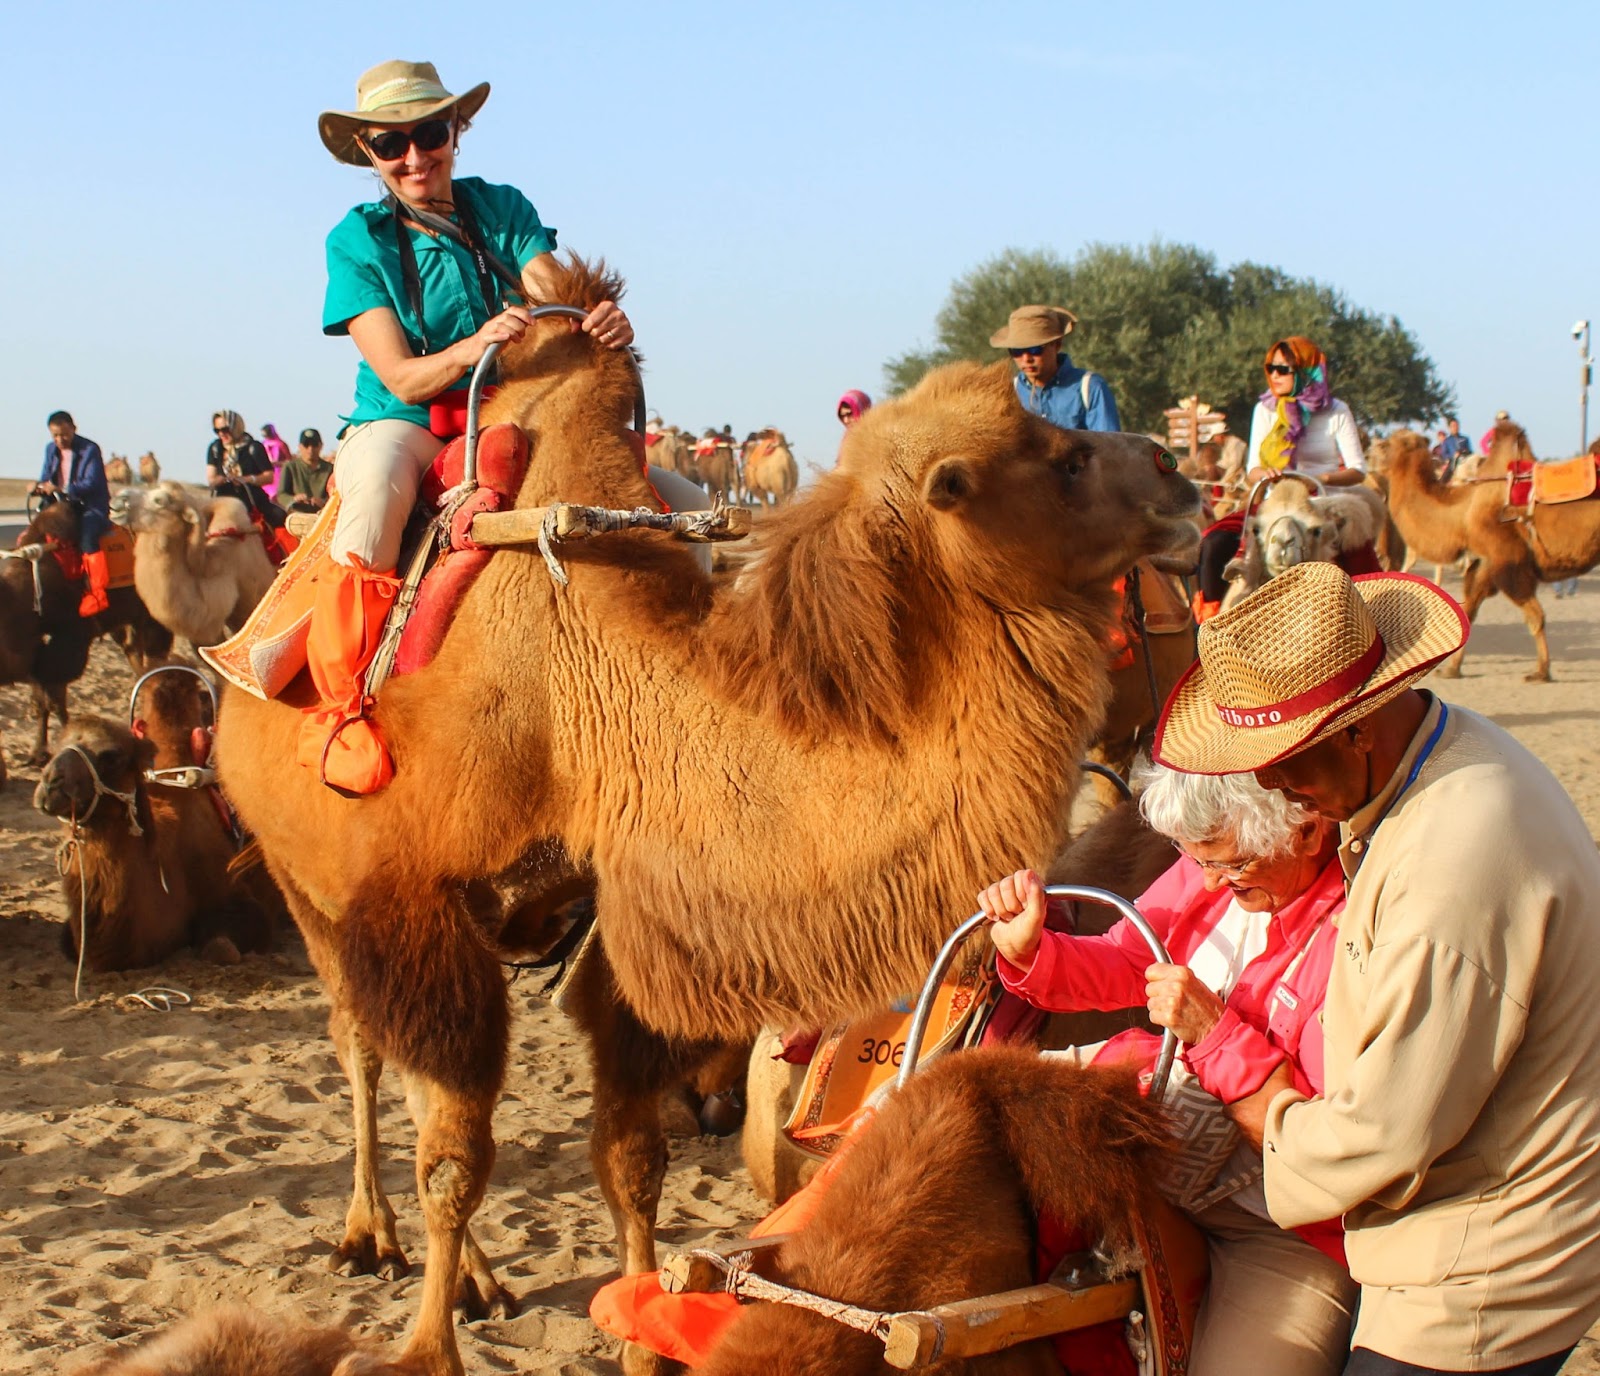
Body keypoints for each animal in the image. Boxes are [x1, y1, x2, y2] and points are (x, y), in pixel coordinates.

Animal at [1384, 426, 1600, 681]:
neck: (1463, 511)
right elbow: (1468, 611)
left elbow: (1535, 617)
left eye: (1386, 444)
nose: (1367, 453)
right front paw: (1451, 669)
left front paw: (1541, 672)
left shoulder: (1508, 559)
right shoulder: (1488, 560)